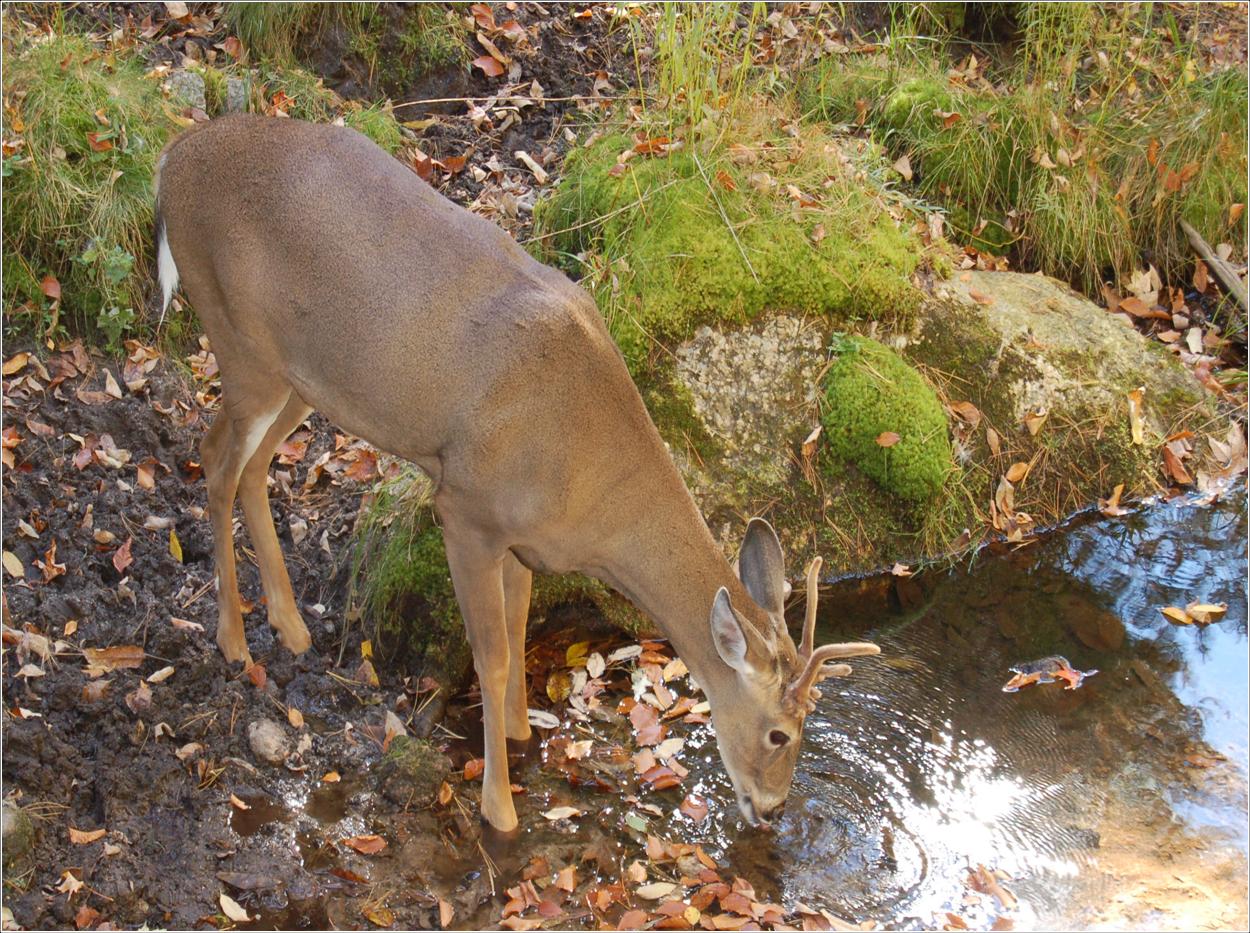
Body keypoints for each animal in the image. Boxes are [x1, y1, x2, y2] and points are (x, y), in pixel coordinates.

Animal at [154, 114, 880, 833]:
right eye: (780, 732)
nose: (773, 807)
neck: (589, 484)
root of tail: (173, 158)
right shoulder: (466, 507)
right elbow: (495, 654)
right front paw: (499, 808)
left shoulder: (522, 540)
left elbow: (517, 626)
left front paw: (520, 739)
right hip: (238, 338)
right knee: (214, 459)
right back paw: (234, 641)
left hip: (304, 379)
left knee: (252, 465)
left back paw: (292, 627)